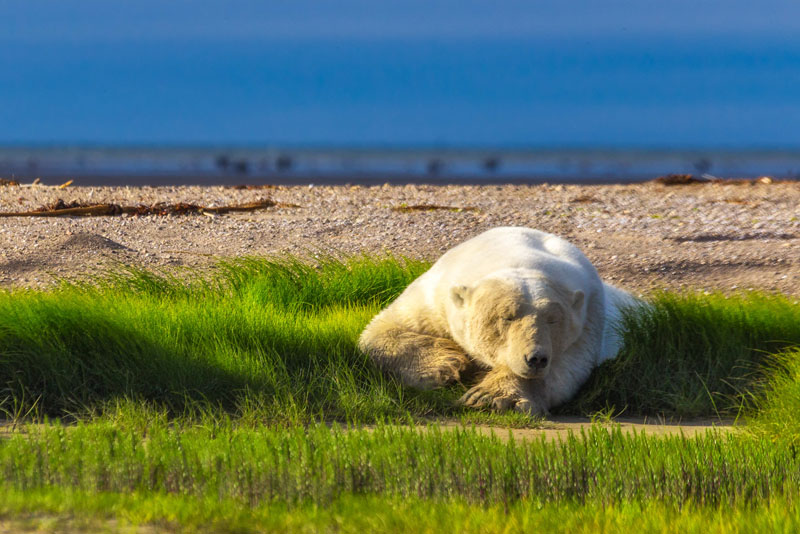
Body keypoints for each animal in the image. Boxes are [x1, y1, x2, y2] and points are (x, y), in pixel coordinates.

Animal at [358, 226, 639, 415]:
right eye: (507, 316)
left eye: (552, 320)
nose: (536, 358)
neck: (519, 256)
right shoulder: (436, 296)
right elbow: (380, 330)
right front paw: (444, 364)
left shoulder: (588, 320)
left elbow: (566, 370)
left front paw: (487, 396)